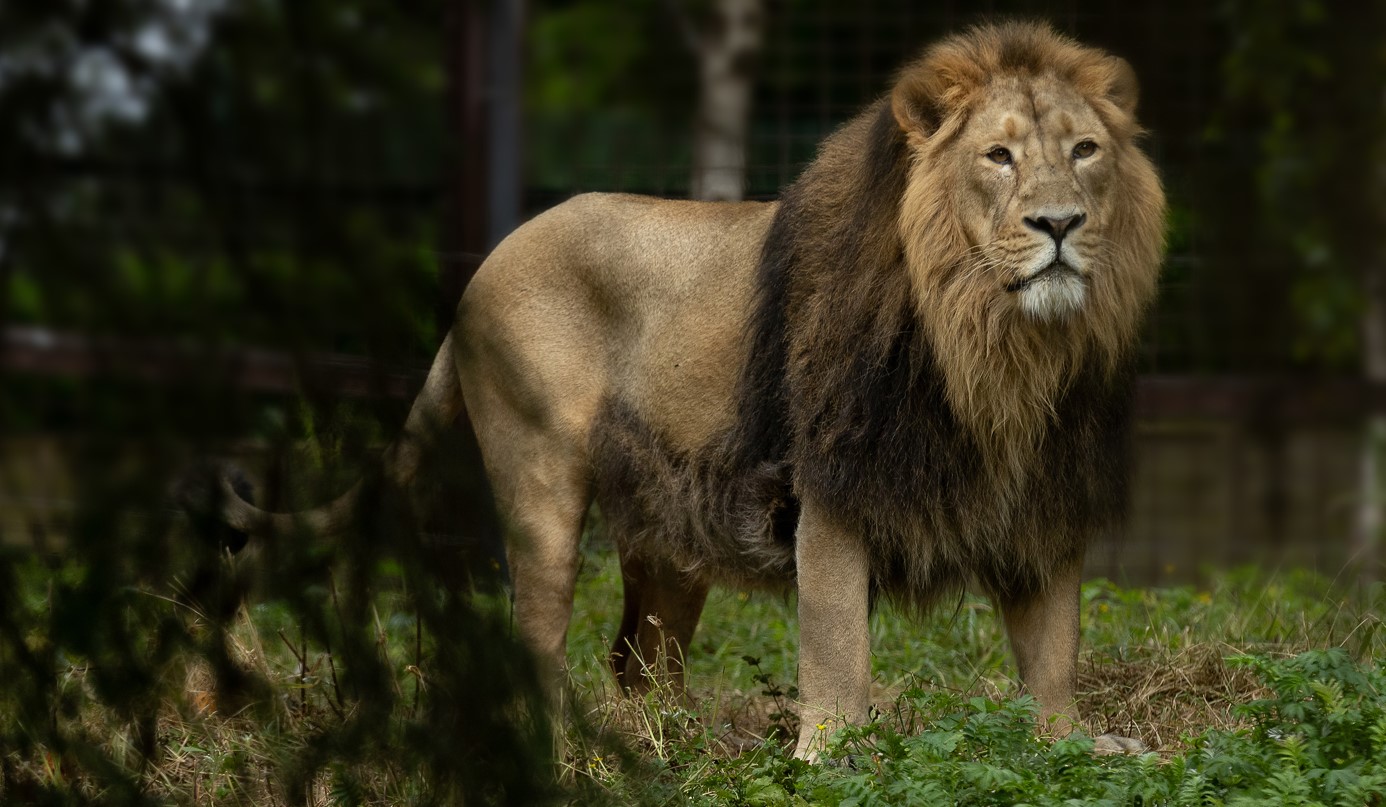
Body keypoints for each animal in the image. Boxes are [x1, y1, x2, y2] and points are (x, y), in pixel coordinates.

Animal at [211, 21, 1165, 758]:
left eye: (1085, 150)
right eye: (998, 156)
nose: (1059, 223)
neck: (996, 345)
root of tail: (482, 269)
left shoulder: (1044, 494)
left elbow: (1053, 648)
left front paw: (1074, 742)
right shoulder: (832, 489)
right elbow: (838, 644)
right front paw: (831, 754)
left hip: (671, 521)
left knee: (640, 662)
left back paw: (671, 739)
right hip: (541, 483)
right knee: (540, 638)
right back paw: (561, 750)